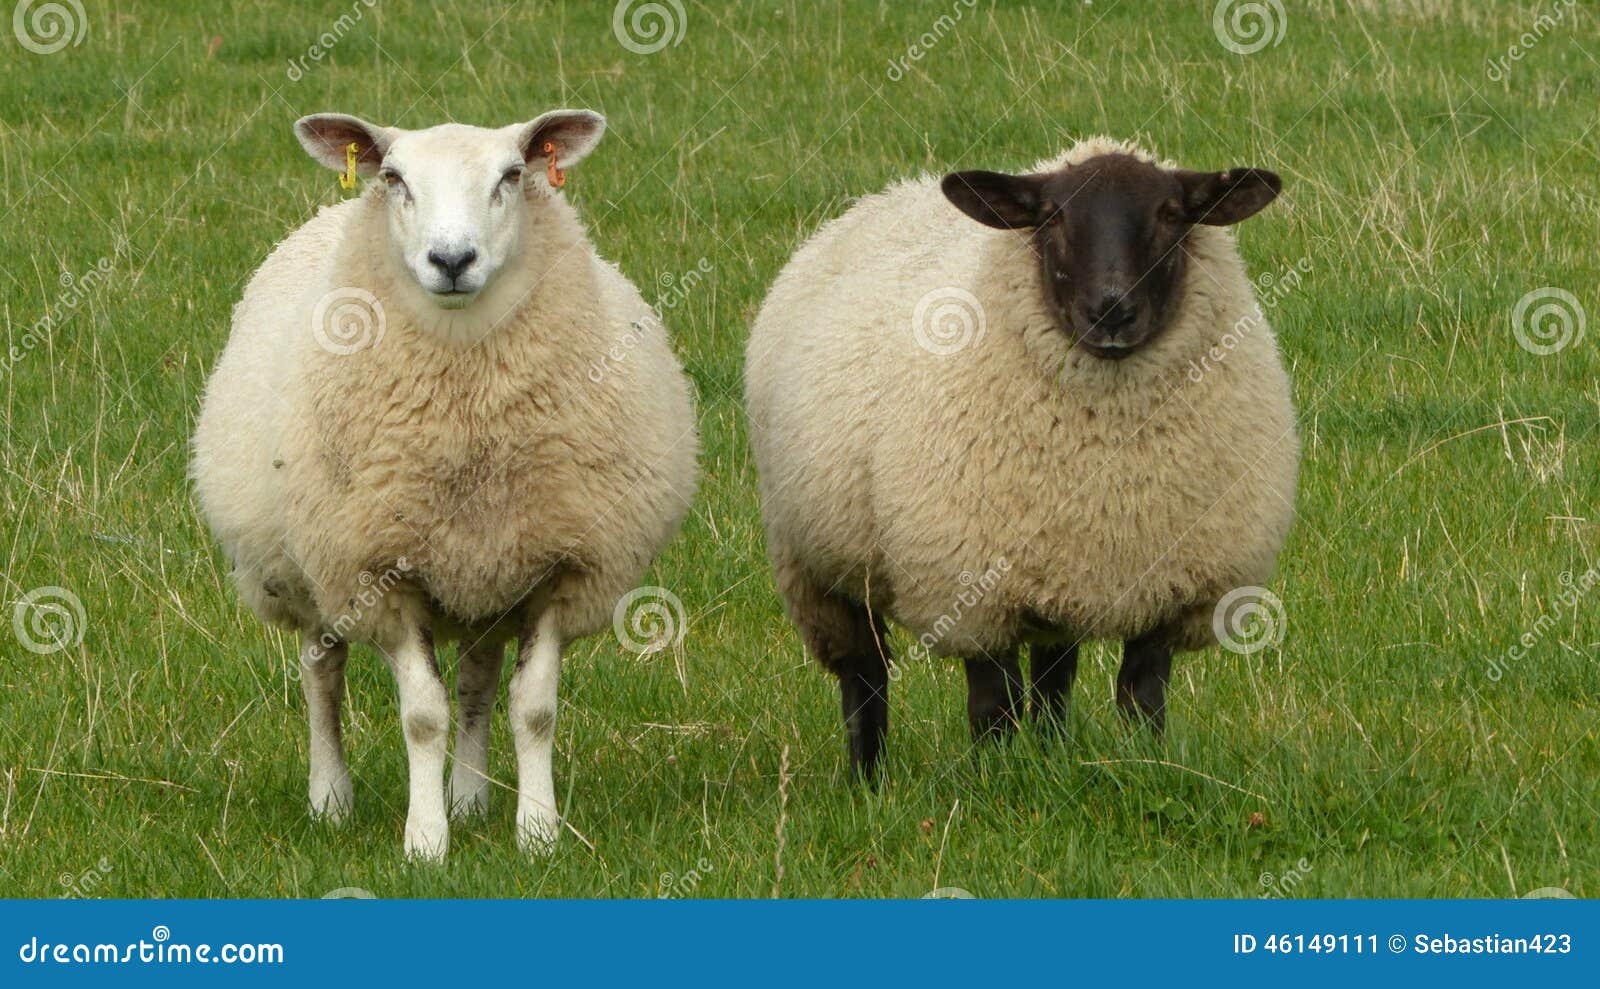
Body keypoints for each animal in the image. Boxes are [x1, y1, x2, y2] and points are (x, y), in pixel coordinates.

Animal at [192, 109, 699, 858]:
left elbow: (533, 708)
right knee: (322, 677)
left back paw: (470, 797)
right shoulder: (377, 572)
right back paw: (330, 799)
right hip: (308, 571)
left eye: (512, 175)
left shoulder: (560, 567)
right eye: (394, 178)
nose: (452, 260)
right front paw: (425, 842)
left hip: (483, 574)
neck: (467, 409)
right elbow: (423, 717)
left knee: (478, 681)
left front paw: (537, 832)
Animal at [744, 137, 1297, 780]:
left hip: (1058, 575)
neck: (1106, 462)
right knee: (865, 678)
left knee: (1055, 675)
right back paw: (867, 780)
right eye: (1052, 216)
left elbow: (1142, 697)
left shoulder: (1165, 588)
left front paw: (1145, 765)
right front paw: (995, 781)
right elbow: (993, 707)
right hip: (816, 568)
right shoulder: (973, 593)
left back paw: (1051, 749)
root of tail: (886, 196)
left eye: (1171, 215)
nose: (1111, 311)